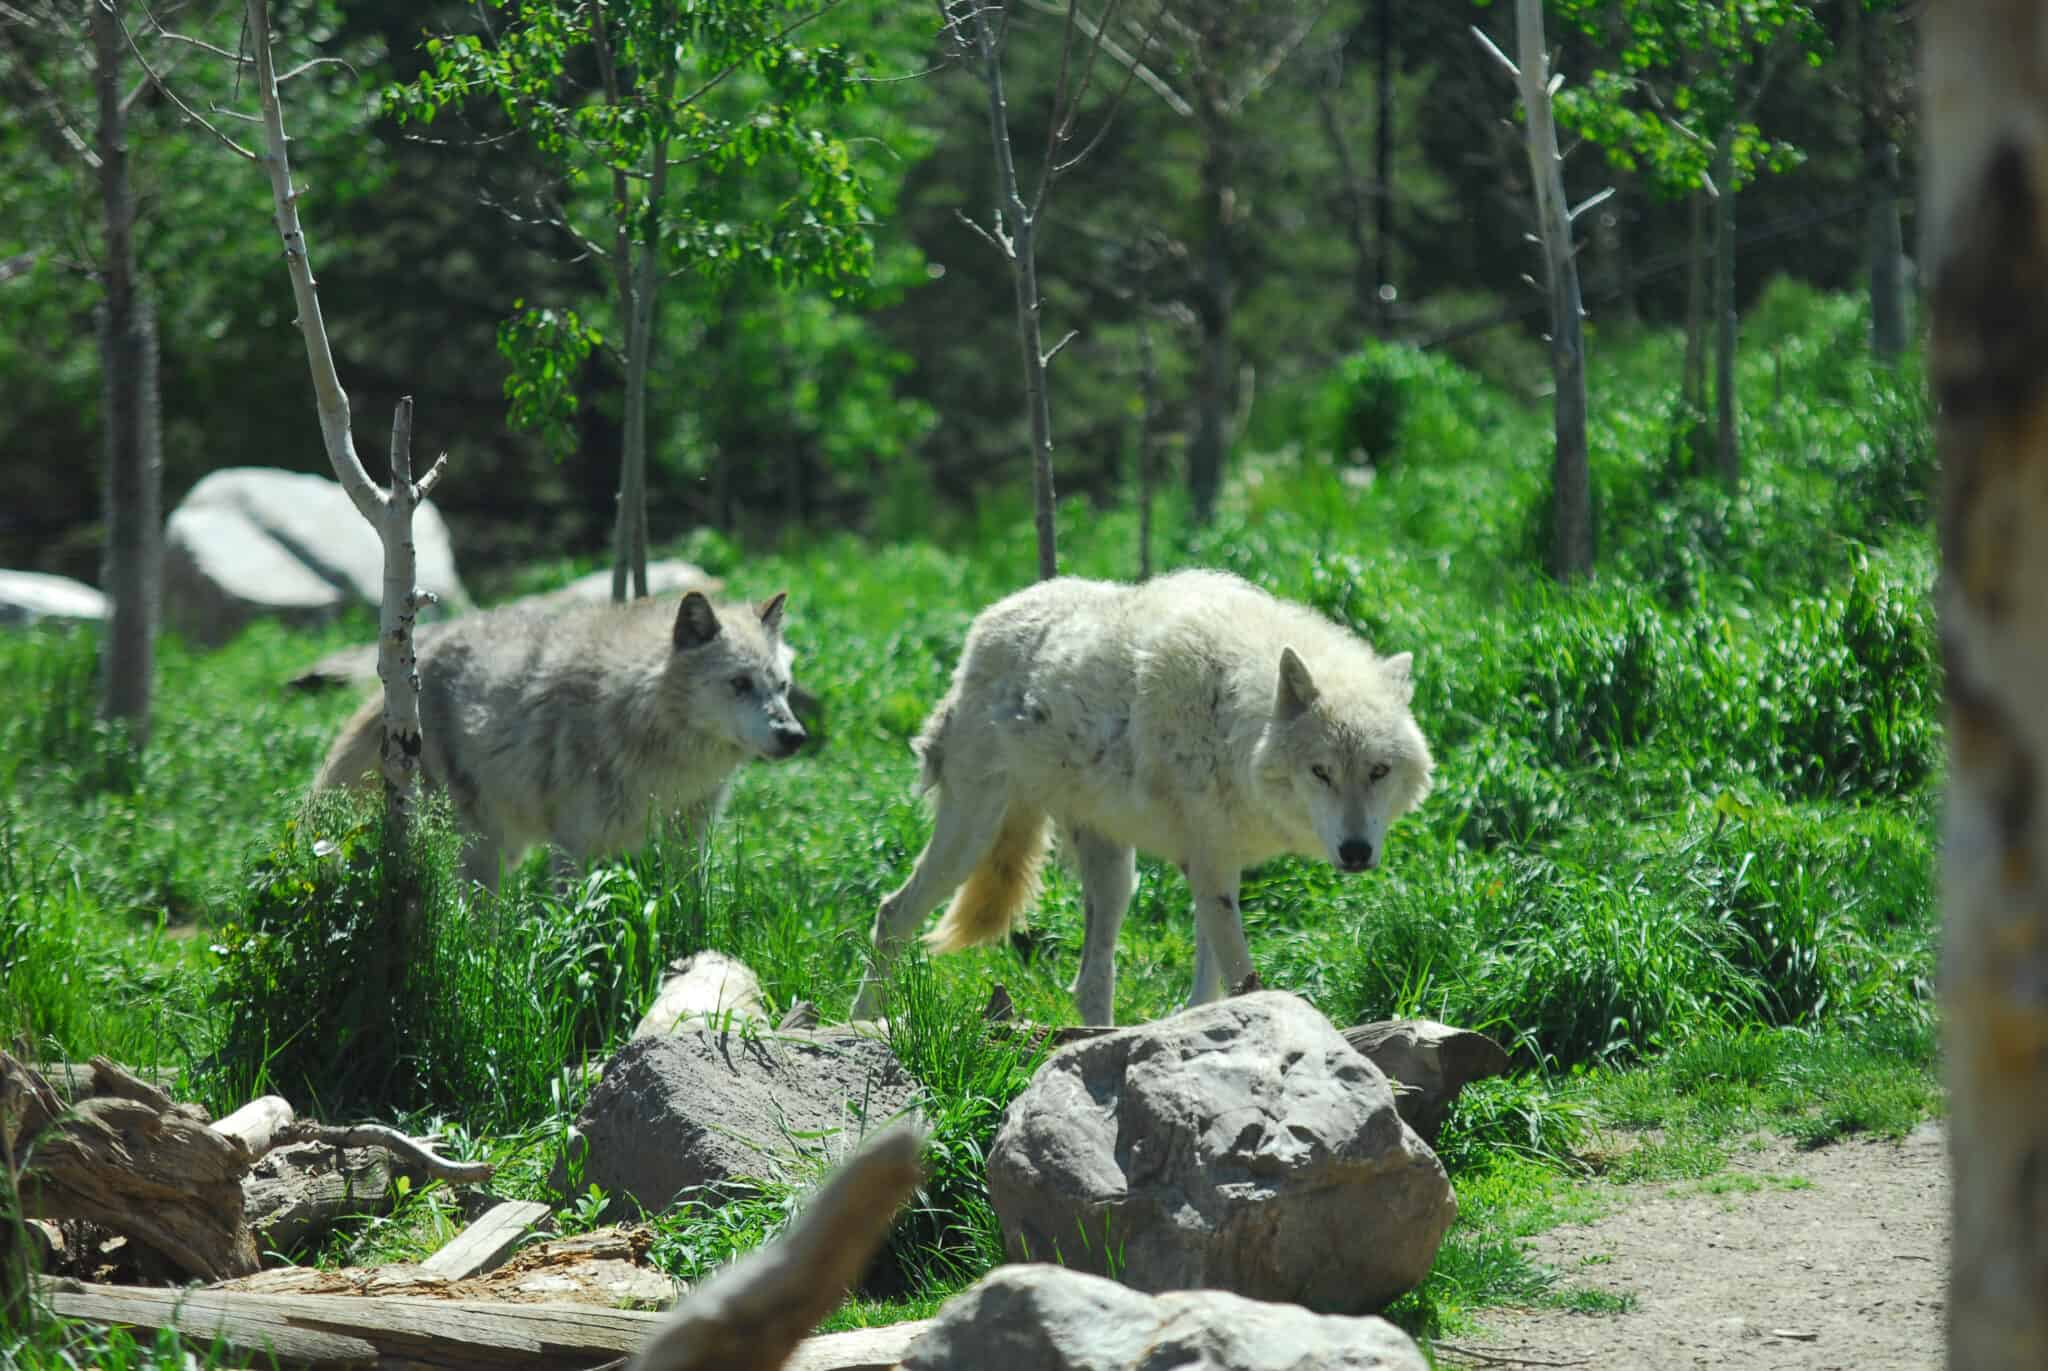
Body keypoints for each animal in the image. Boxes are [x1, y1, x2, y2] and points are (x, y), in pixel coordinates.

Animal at [314, 590, 805, 888]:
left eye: (781, 687)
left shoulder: (689, 840)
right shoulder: (574, 847)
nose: (795, 736)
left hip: (506, 848)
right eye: (739, 683)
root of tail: (419, 660)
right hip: (482, 849)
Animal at [849, 569, 1432, 1026]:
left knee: (1090, 981)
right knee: (891, 913)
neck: (1233, 724)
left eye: (1378, 771)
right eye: (1321, 772)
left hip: (1113, 875)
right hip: (972, 833)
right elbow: (1241, 977)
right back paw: (861, 1021)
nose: (1355, 852)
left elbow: (1209, 988)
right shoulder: (1211, 868)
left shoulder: (1215, 867)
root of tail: (987, 620)